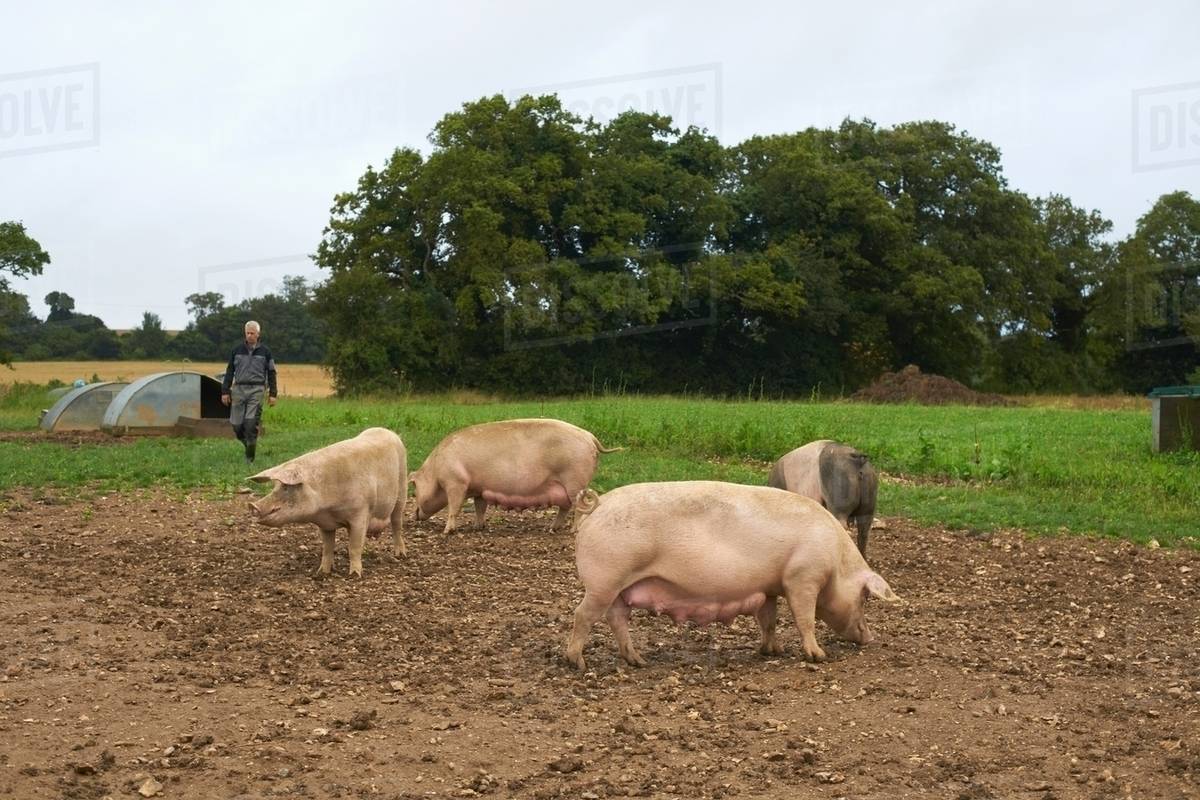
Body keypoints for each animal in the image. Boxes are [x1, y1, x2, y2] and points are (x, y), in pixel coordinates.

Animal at [247, 427, 407, 578]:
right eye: (275, 486)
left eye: (286, 487)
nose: (253, 506)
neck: (327, 509)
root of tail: (390, 432)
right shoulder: (325, 524)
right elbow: (328, 548)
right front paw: (322, 573)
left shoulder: (360, 514)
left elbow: (354, 547)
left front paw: (355, 575)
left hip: (401, 490)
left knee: (397, 524)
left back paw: (400, 555)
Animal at [411, 418, 619, 534]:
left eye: (415, 487)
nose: (414, 515)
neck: (436, 469)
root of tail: (590, 437)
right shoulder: (479, 489)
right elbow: (480, 508)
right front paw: (478, 527)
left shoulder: (456, 482)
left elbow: (454, 507)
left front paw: (447, 532)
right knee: (565, 508)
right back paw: (551, 528)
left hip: (575, 480)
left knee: (578, 508)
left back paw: (573, 530)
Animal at [565, 481, 898, 670]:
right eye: (864, 598)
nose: (869, 638)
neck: (835, 561)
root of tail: (600, 503)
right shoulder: (802, 577)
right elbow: (804, 618)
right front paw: (818, 656)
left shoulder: (769, 587)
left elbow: (769, 619)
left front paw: (773, 651)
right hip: (605, 580)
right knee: (583, 615)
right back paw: (577, 663)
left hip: (617, 587)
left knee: (616, 619)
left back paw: (637, 661)